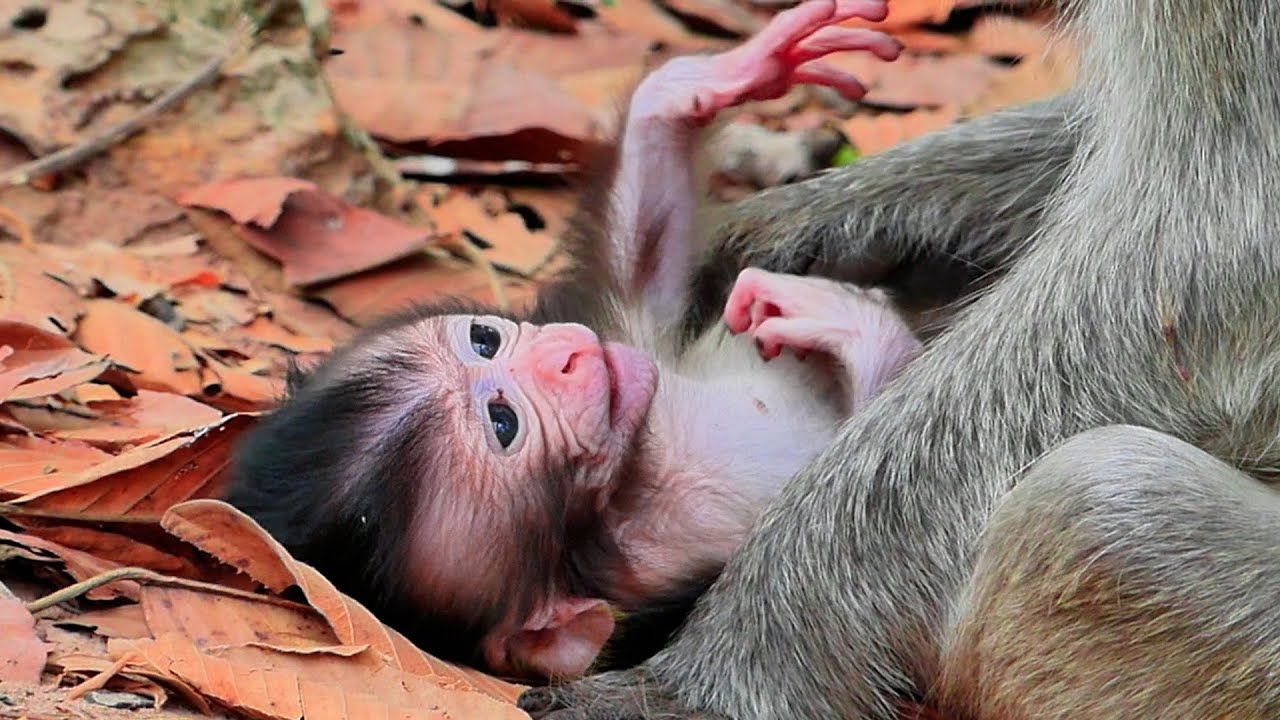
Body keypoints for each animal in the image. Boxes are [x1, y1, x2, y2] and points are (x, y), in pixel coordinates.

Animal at [225, 0, 920, 683]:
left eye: (485, 340)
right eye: (503, 423)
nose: (565, 356)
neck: (643, 469)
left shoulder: (637, 350)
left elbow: (646, 278)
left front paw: (705, 80)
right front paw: (854, 326)